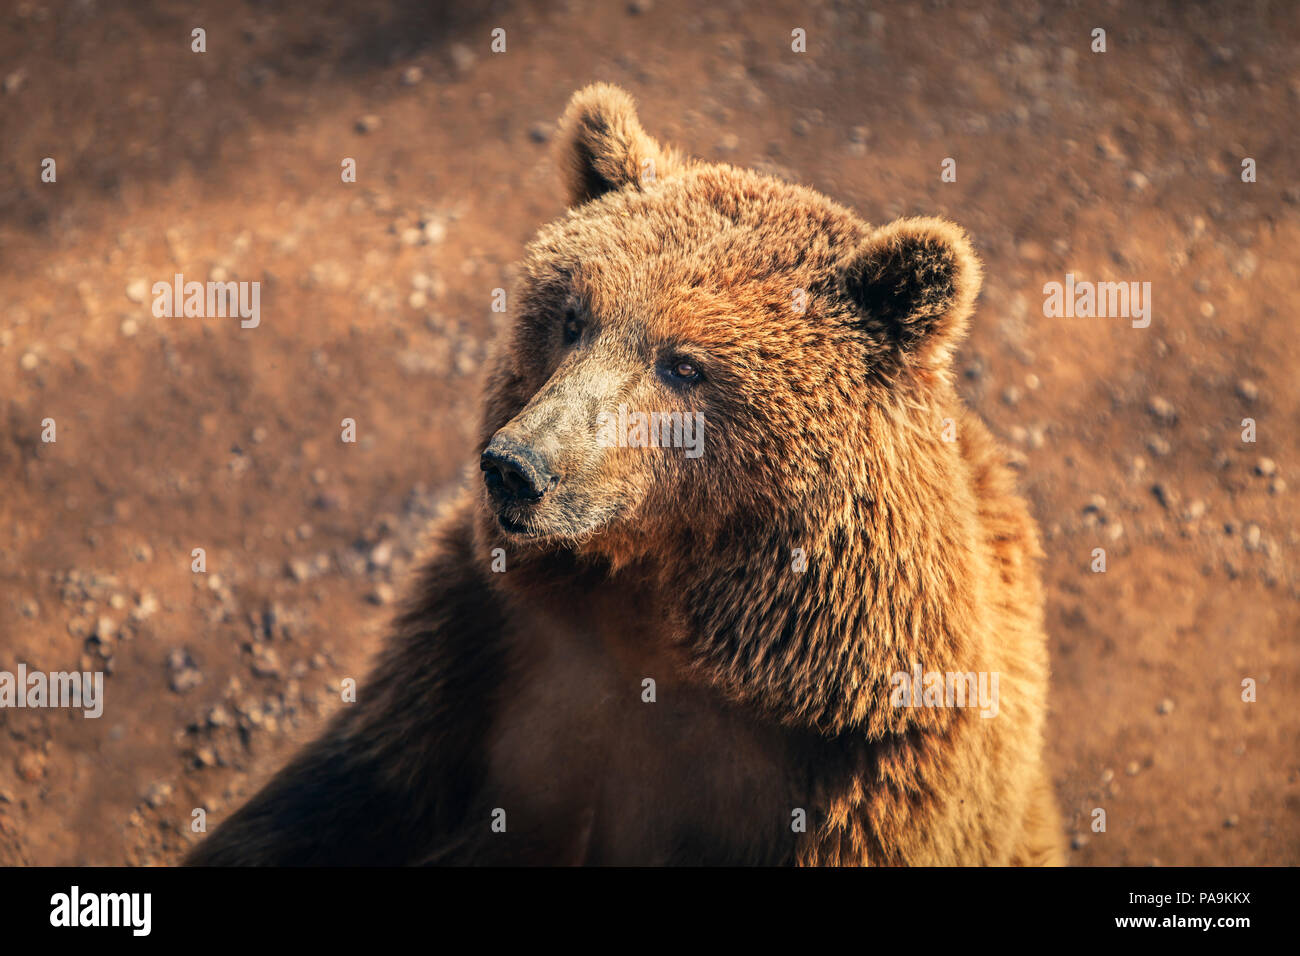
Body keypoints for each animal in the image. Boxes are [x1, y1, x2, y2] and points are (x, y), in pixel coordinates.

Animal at [185, 84, 1063, 866]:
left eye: (684, 364)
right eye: (573, 317)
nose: (516, 468)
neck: (651, 607)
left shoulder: (861, 779)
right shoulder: (479, 652)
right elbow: (340, 796)